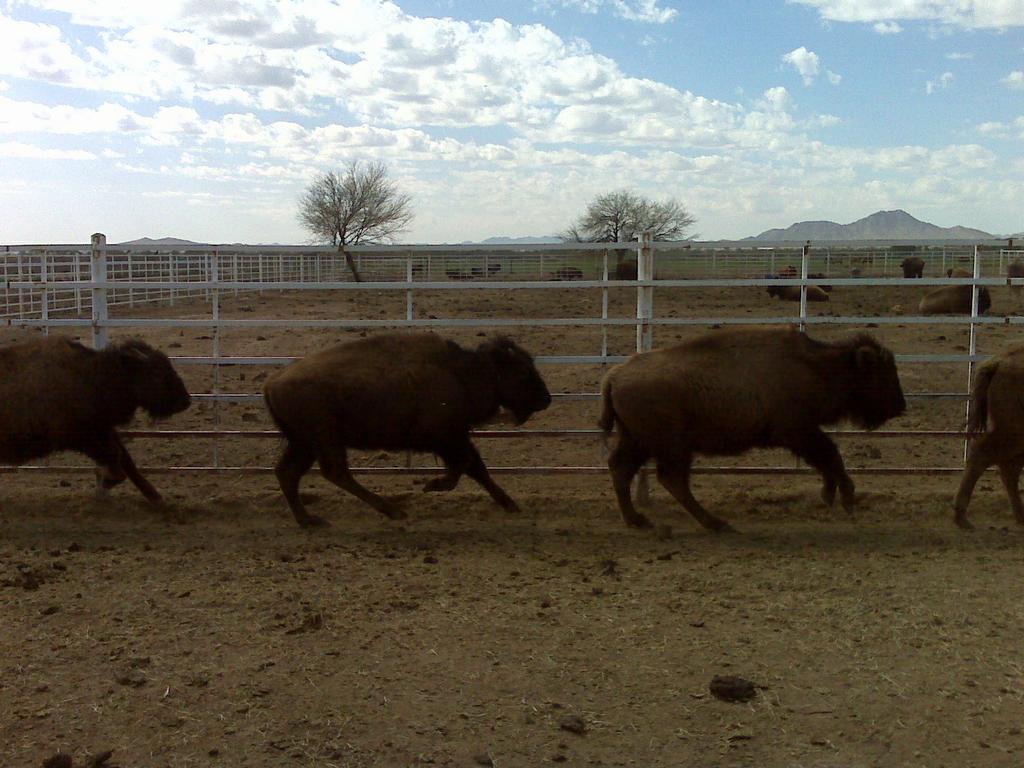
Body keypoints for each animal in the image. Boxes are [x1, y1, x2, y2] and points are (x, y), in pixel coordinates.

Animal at [0, 337, 191, 504]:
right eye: (156, 372)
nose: (185, 401)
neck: (91, 375)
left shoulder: (103, 429)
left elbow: (126, 460)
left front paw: (155, 497)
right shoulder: (84, 438)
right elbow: (114, 458)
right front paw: (106, 482)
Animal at [263, 332, 552, 527]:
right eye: (523, 371)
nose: (546, 399)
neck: (461, 372)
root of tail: (273, 382)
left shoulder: (456, 438)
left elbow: (477, 468)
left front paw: (510, 504)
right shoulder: (448, 439)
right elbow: (464, 465)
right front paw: (432, 485)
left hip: (305, 444)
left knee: (288, 473)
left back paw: (309, 520)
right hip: (324, 441)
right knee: (335, 473)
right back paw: (393, 511)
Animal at [598, 327, 906, 531]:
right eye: (883, 374)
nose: (900, 406)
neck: (816, 367)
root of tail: (615, 376)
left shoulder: (803, 433)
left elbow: (826, 458)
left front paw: (828, 495)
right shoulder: (798, 431)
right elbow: (830, 454)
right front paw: (846, 498)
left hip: (638, 441)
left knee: (622, 469)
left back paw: (638, 520)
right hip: (670, 445)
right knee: (671, 479)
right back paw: (716, 523)